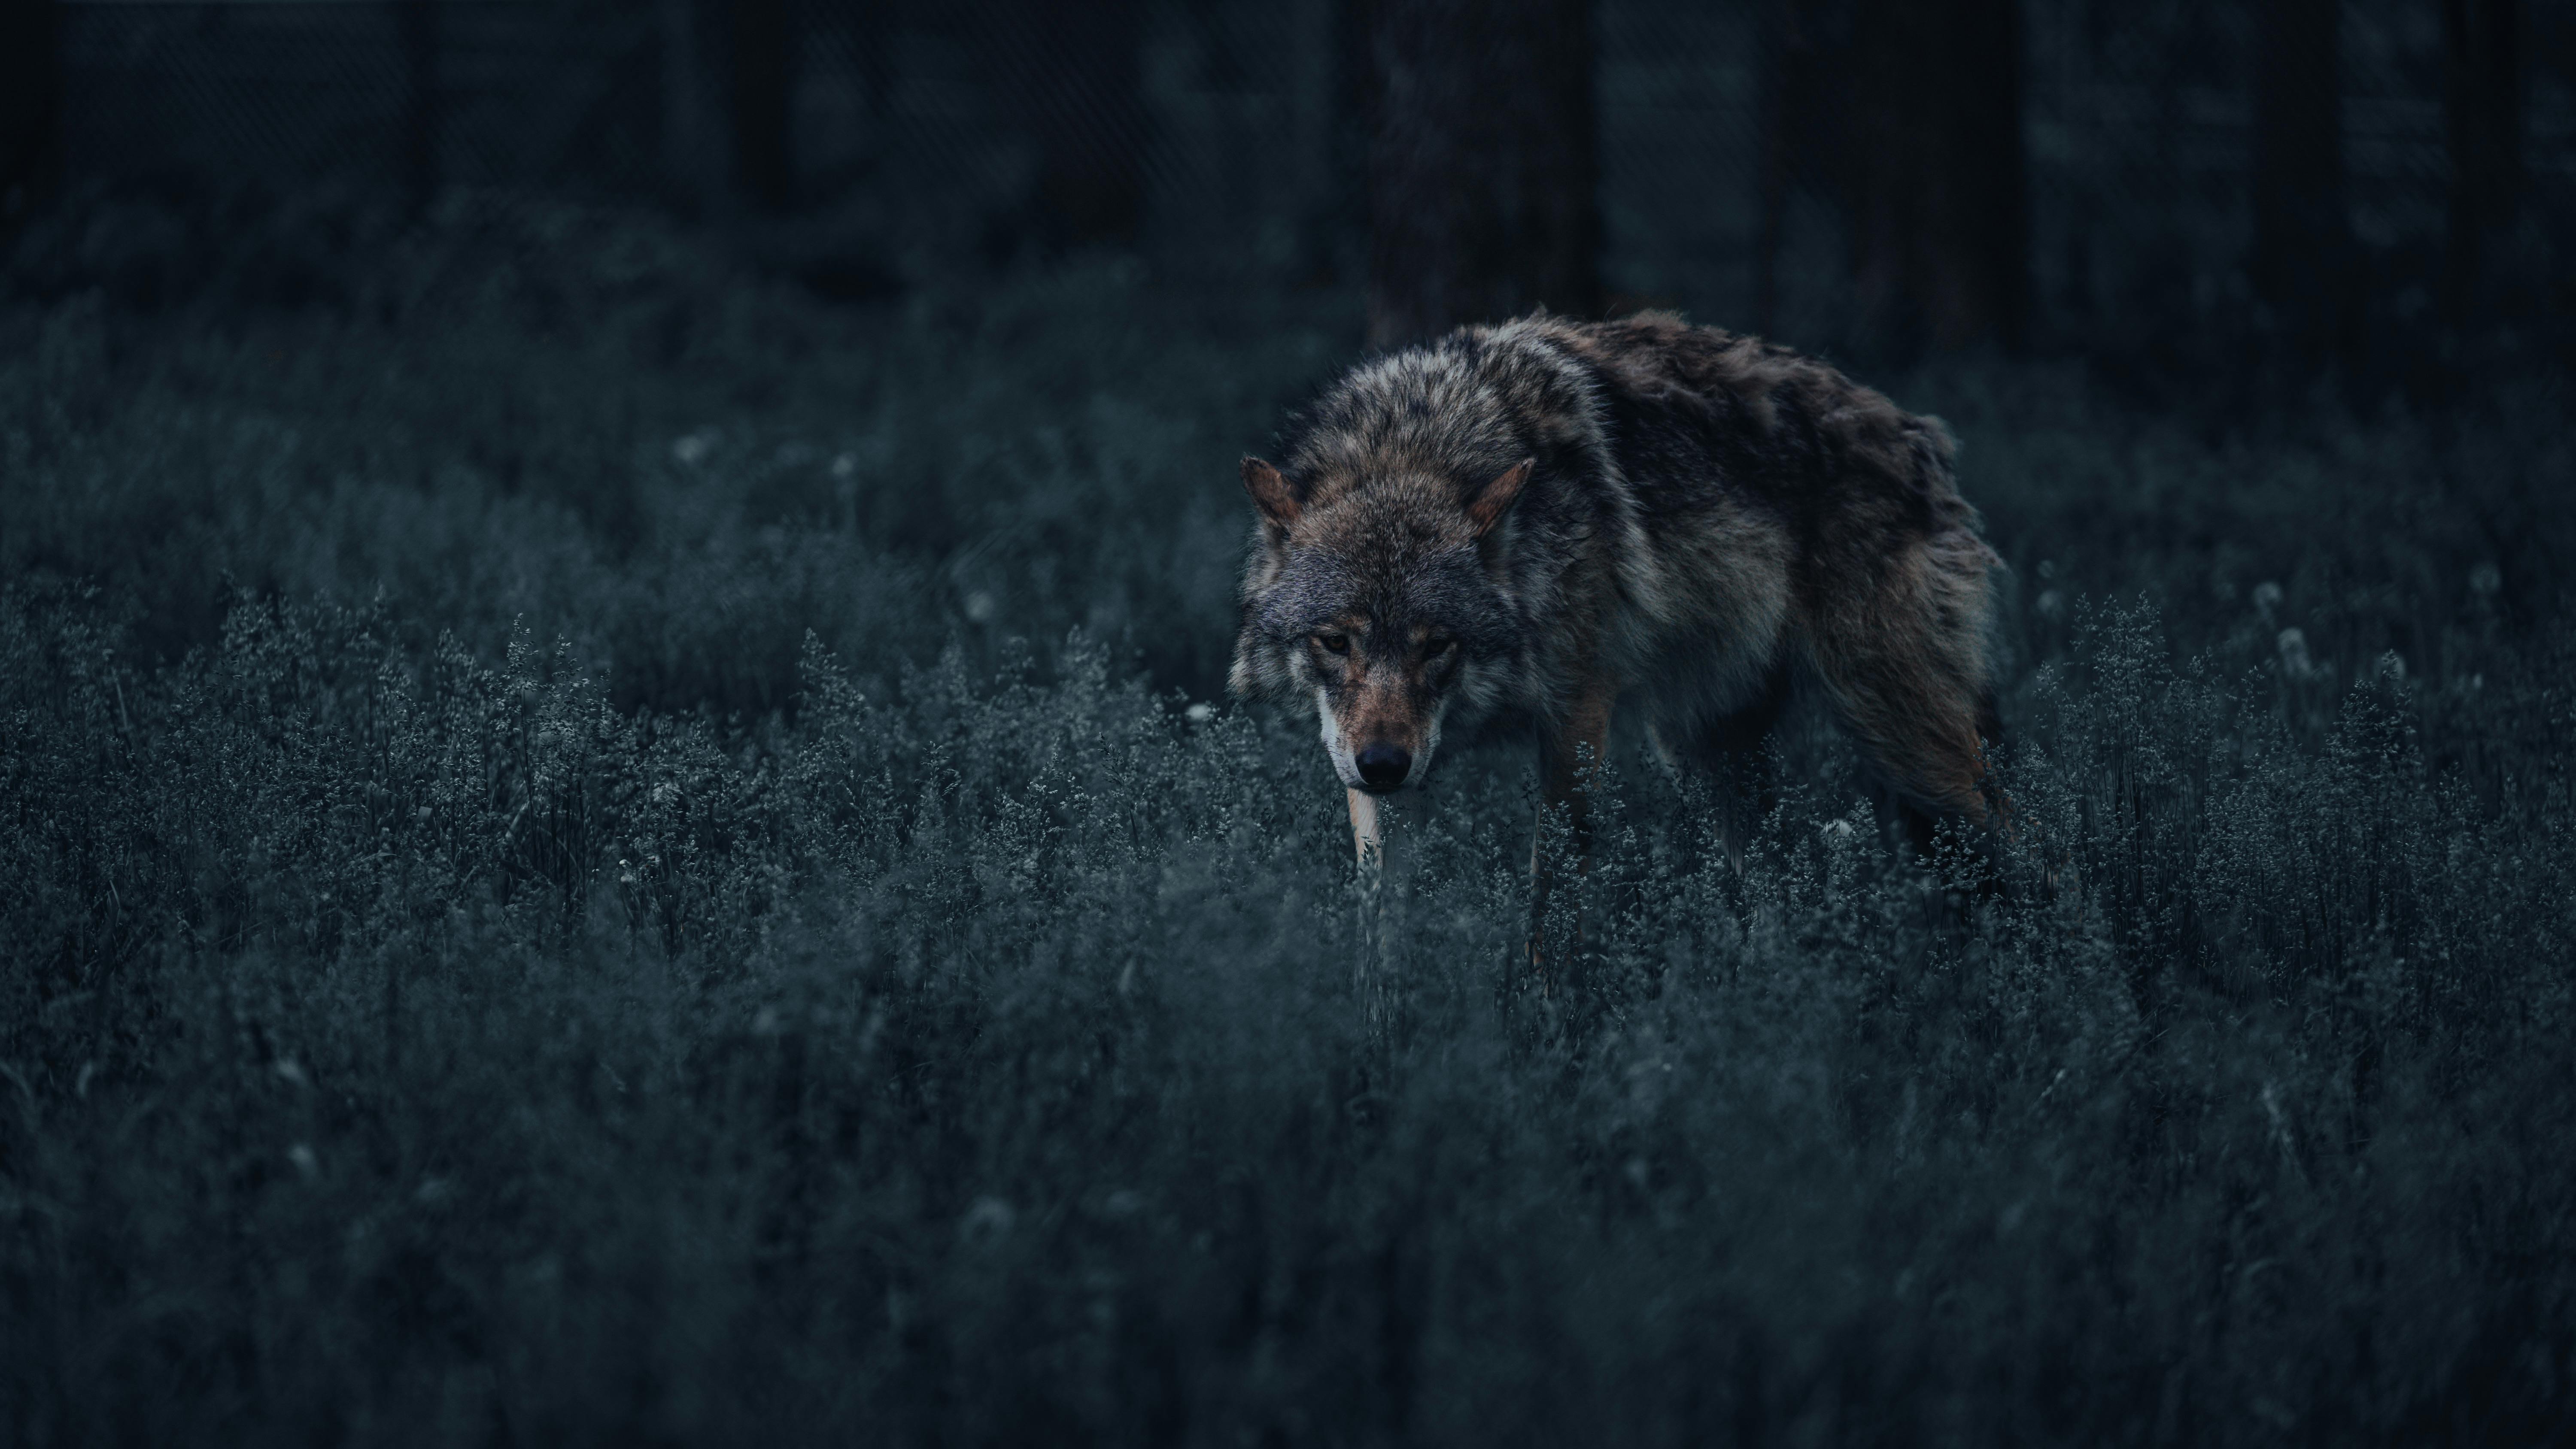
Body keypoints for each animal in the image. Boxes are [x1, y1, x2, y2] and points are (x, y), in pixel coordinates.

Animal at [1228, 312, 2003, 905]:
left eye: (1438, 644)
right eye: (1335, 642)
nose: (1384, 764)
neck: (1419, 448)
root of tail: (1922, 435)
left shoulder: (1577, 722)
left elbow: (1549, 920)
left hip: (1909, 750)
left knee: (2017, 841)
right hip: (1708, 754)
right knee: (1785, 887)